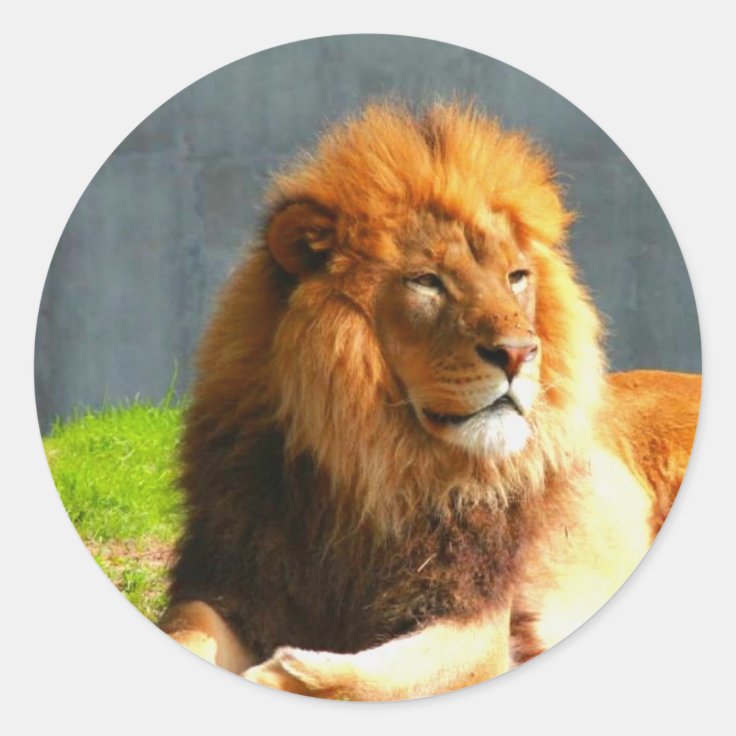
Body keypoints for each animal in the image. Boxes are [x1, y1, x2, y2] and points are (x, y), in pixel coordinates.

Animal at [159, 103, 700, 700]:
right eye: (426, 281)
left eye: (516, 277)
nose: (518, 352)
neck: (371, 472)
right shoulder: (233, 580)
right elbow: (187, 632)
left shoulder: (478, 617)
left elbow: (379, 682)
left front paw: (284, 672)